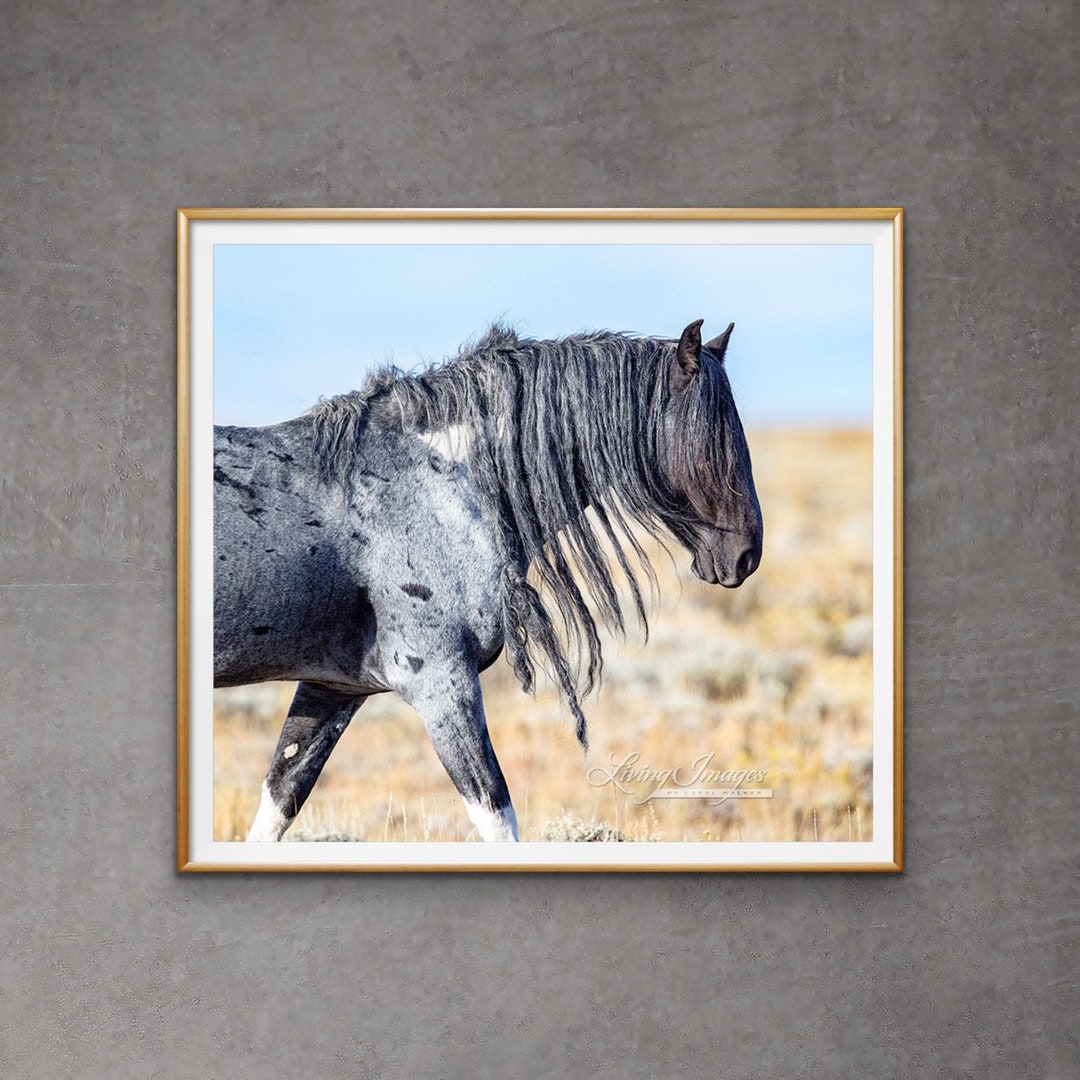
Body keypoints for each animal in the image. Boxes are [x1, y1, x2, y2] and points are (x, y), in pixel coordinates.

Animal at [213, 318, 763, 842]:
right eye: (710, 438)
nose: (746, 556)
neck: (442, 485)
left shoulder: (332, 686)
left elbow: (278, 804)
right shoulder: (441, 682)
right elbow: (496, 815)